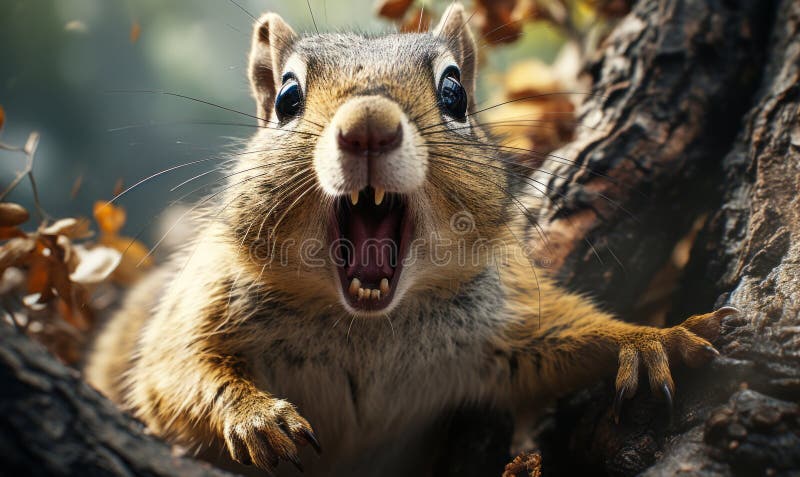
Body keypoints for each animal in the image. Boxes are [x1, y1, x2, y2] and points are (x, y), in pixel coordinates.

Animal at [84, 4, 737, 476]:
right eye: (288, 98)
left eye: (455, 93)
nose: (368, 125)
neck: (367, 328)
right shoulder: (202, 302)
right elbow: (176, 372)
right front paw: (255, 417)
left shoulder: (507, 316)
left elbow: (569, 338)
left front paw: (651, 339)